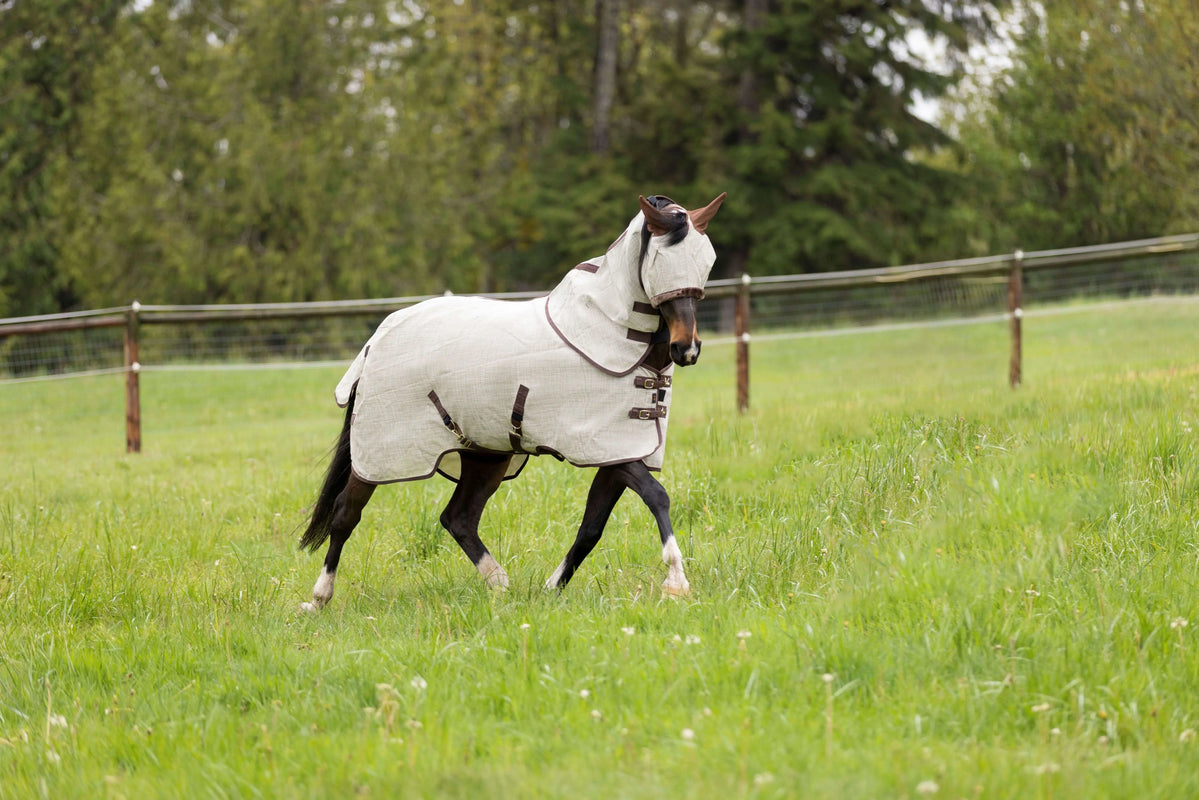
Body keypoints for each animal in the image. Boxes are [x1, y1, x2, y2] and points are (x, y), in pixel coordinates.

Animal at [298, 193, 725, 611]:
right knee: (345, 514)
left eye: (706, 261)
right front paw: (676, 581)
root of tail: (378, 340)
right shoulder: (607, 448)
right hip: (380, 452)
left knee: (459, 518)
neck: (614, 342)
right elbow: (657, 496)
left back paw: (500, 585)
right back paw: (319, 597)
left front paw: (552, 587)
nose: (686, 348)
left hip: (485, 455)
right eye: (660, 262)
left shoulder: (618, 451)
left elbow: (592, 526)